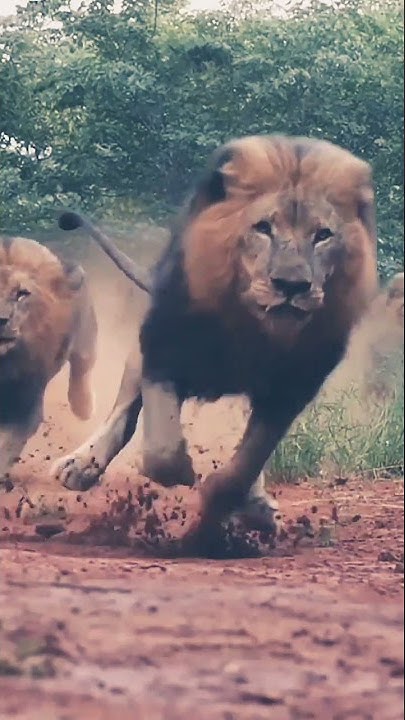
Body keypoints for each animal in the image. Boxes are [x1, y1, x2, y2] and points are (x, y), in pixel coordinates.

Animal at [0, 236, 98, 482]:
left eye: (22, 293)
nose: (2, 319)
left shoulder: (26, 406)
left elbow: (5, 448)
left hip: (86, 339)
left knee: (83, 369)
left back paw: (84, 408)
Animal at [51, 134, 378, 542]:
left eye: (323, 236)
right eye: (263, 228)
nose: (291, 285)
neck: (249, 326)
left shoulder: (293, 386)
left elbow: (249, 459)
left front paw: (236, 507)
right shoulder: (163, 344)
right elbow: (161, 446)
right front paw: (183, 474)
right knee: (124, 407)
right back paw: (81, 465)